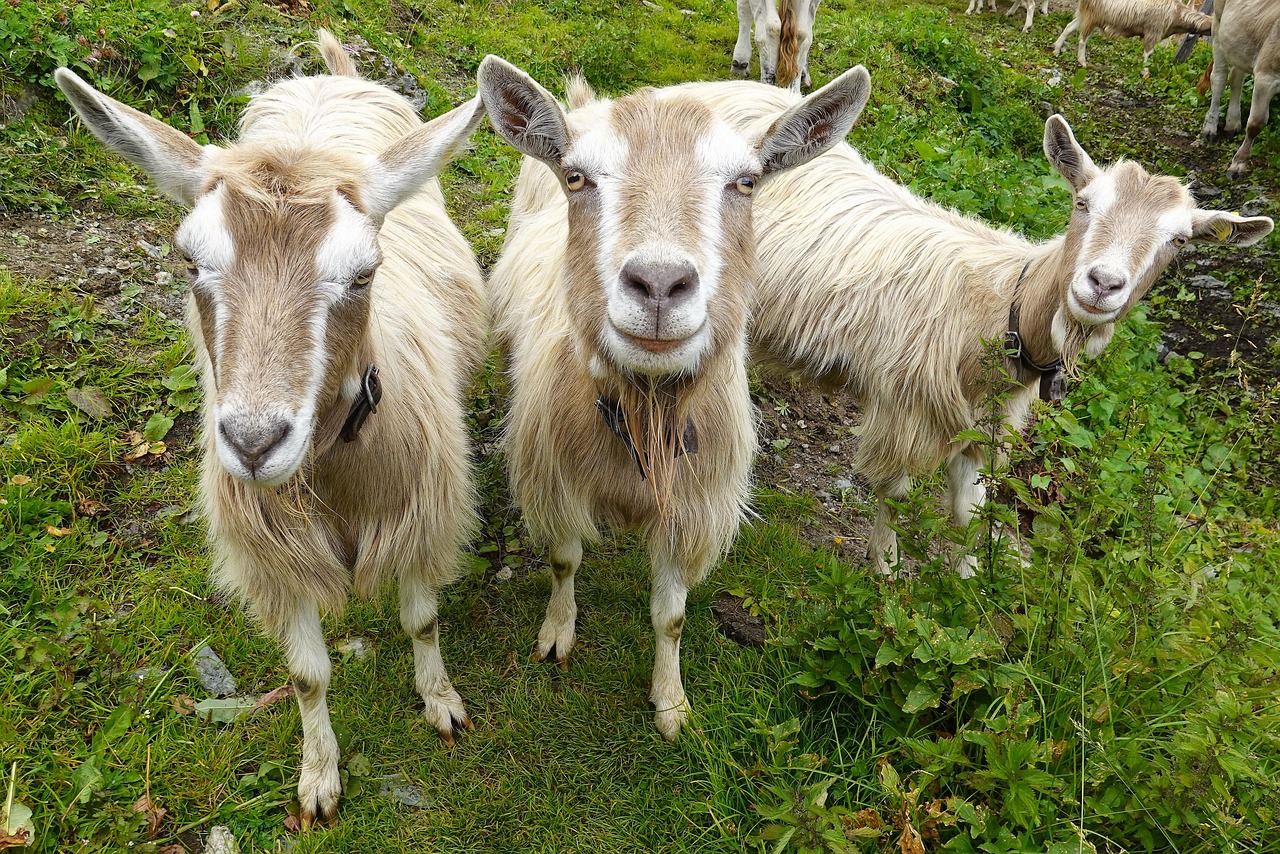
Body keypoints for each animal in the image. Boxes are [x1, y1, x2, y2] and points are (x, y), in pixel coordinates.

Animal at [55, 31, 487, 825]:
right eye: (190, 261)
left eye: (364, 273)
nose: (255, 444)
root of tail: (332, 77)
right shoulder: (274, 554)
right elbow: (308, 674)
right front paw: (318, 776)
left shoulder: (422, 511)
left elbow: (421, 620)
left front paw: (440, 703)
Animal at [479, 58, 870, 736]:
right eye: (577, 176)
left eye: (746, 182)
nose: (659, 284)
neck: (642, 419)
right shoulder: (555, 479)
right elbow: (564, 562)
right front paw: (557, 634)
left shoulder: (693, 508)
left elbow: (672, 616)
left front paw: (670, 703)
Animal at [685, 82, 1272, 576]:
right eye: (1082, 203)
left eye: (1179, 241)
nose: (1103, 283)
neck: (1000, 307)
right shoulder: (908, 406)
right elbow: (896, 493)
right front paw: (885, 576)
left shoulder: (985, 427)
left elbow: (971, 512)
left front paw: (971, 582)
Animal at [1053, 0, 1213, 77]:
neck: (1176, 14)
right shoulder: (1152, 32)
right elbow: (1148, 53)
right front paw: (1145, 72)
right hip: (1094, 16)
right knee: (1082, 39)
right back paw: (1082, 62)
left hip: (1087, 14)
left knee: (1068, 27)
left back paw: (1056, 49)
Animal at [1199, 0, 1280, 177]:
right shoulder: (1266, 76)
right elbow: (1256, 123)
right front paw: (1238, 164)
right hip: (1218, 26)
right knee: (1219, 78)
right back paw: (1210, 128)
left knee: (1236, 76)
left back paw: (1232, 123)